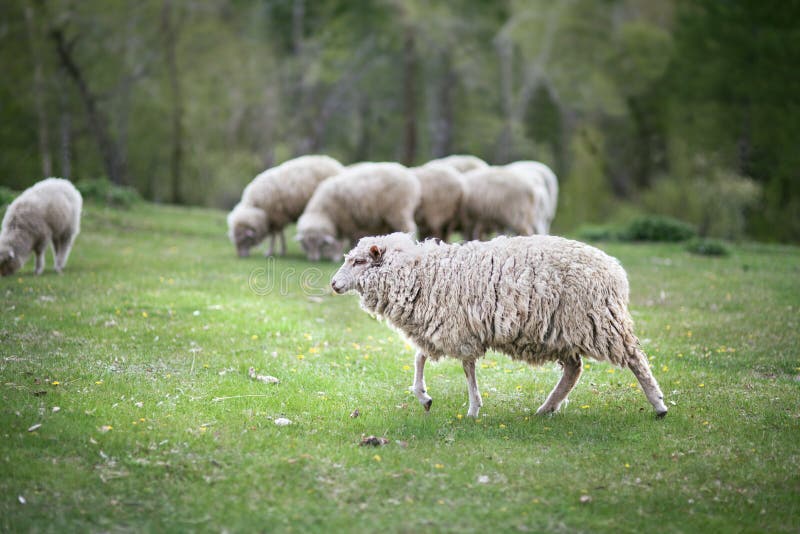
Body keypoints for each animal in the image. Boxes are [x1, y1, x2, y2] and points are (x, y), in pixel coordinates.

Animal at [331, 232, 668, 419]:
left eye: (359, 261)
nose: (333, 284)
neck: (418, 272)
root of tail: (616, 271)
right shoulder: (438, 326)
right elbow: (420, 358)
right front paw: (423, 396)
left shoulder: (458, 329)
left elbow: (466, 369)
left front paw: (472, 409)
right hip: (566, 330)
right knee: (574, 370)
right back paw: (547, 408)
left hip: (599, 321)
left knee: (636, 358)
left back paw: (659, 405)